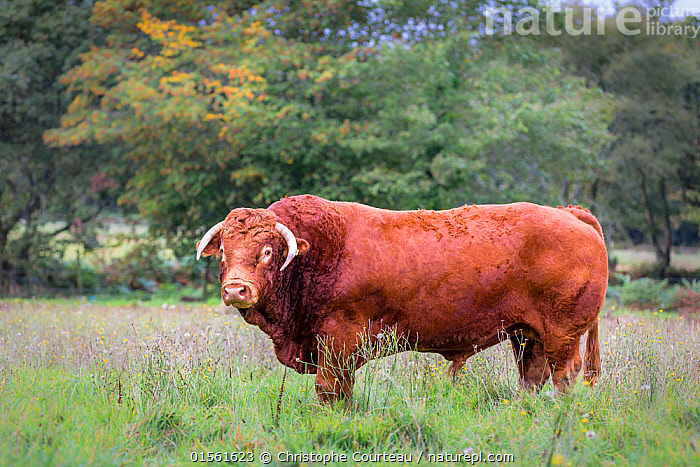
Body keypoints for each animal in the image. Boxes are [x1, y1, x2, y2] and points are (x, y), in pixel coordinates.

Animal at [196, 194, 607, 403]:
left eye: (267, 251)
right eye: (223, 251)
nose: (236, 290)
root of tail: (569, 213)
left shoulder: (337, 341)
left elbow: (330, 390)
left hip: (562, 335)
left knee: (565, 375)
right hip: (526, 335)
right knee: (532, 376)